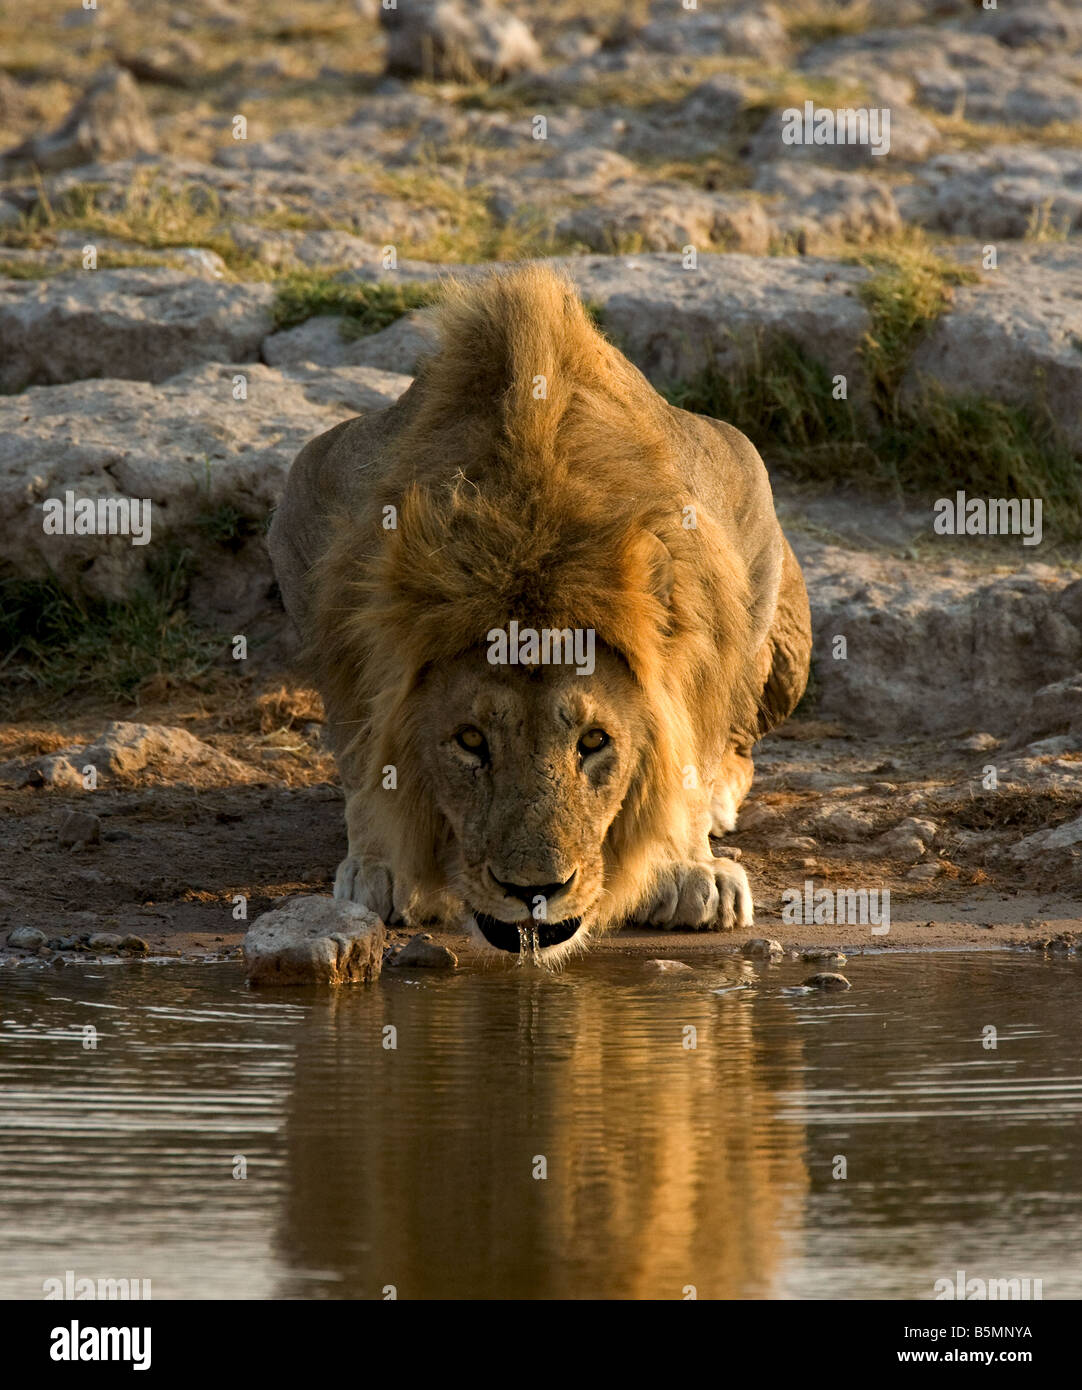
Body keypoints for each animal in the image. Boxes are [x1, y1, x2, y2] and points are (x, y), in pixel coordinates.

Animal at [268, 265, 811, 964]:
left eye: (595, 741)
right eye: (471, 741)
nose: (534, 892)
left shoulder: (740, 506)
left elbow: (692, 736)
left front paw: (691, 869)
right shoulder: (314, 509)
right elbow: (364, 747)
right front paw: (383, 866)